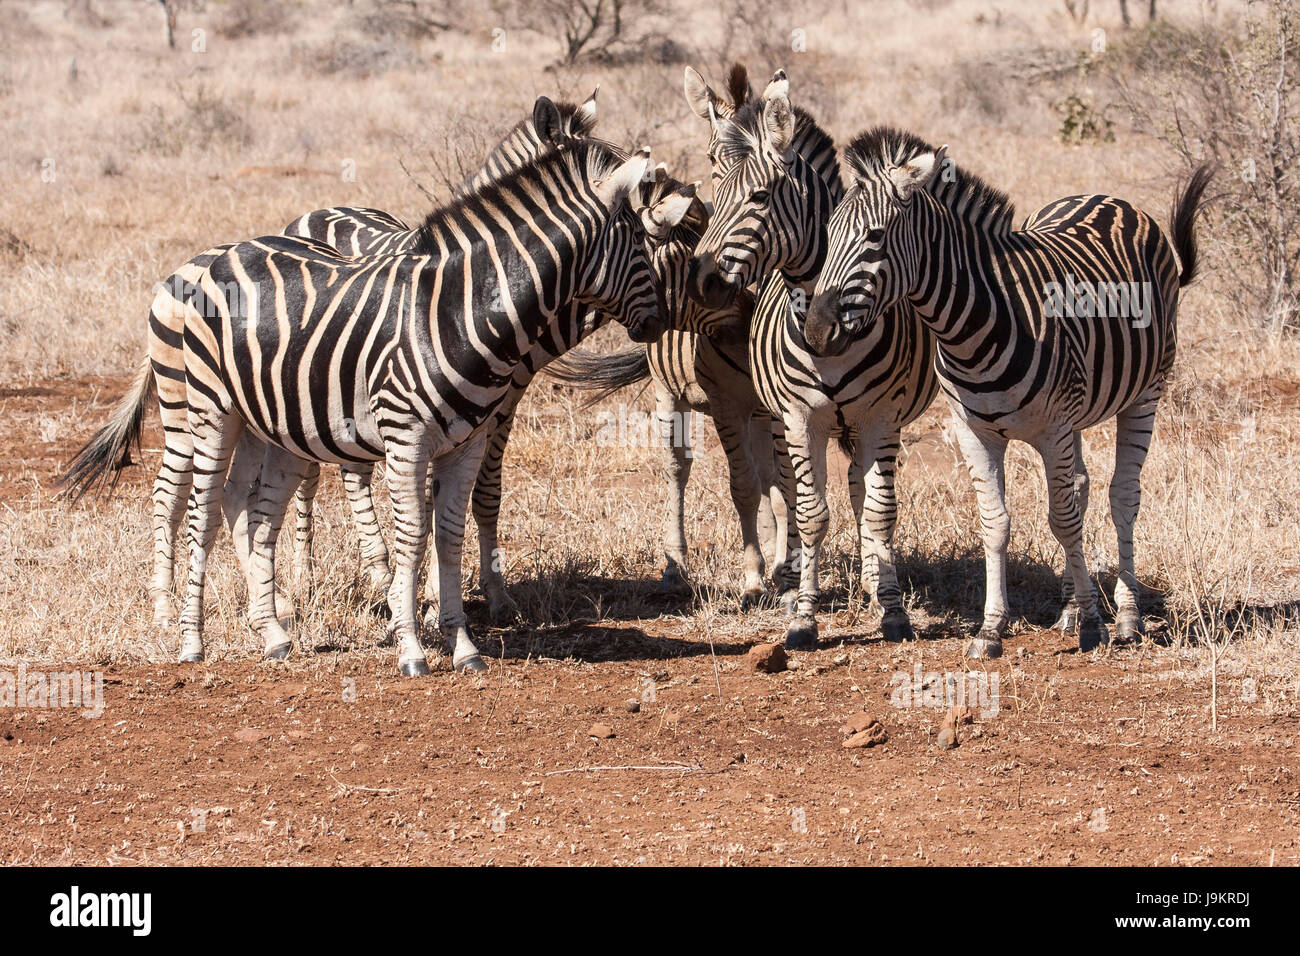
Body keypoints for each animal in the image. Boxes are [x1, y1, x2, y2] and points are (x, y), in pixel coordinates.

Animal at [685, 70, 939, 650]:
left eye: (759, 197)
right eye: (712, 181)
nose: (699, 282)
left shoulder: (881, 417)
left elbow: (879, 512)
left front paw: (892, 610)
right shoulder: (800, 419)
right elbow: (810, 512)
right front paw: (803, 616)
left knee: (860, 494)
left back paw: (872, 581)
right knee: (788, 491)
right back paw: (792, 577)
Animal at [807, 124, 1213, 658]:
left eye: (874, 237)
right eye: (828, 235)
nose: (815, 332)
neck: (976, 324)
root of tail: (1110, 198)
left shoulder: (1055, 427)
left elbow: (1063, 520)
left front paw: (1094, 627)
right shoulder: (973, 431)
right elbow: (995, 523)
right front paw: (992, 629)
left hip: (1146, 392)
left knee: (1122, 497)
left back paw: (1126, 616)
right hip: (1078, 416)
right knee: (1079, 488)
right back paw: (1069, 610)